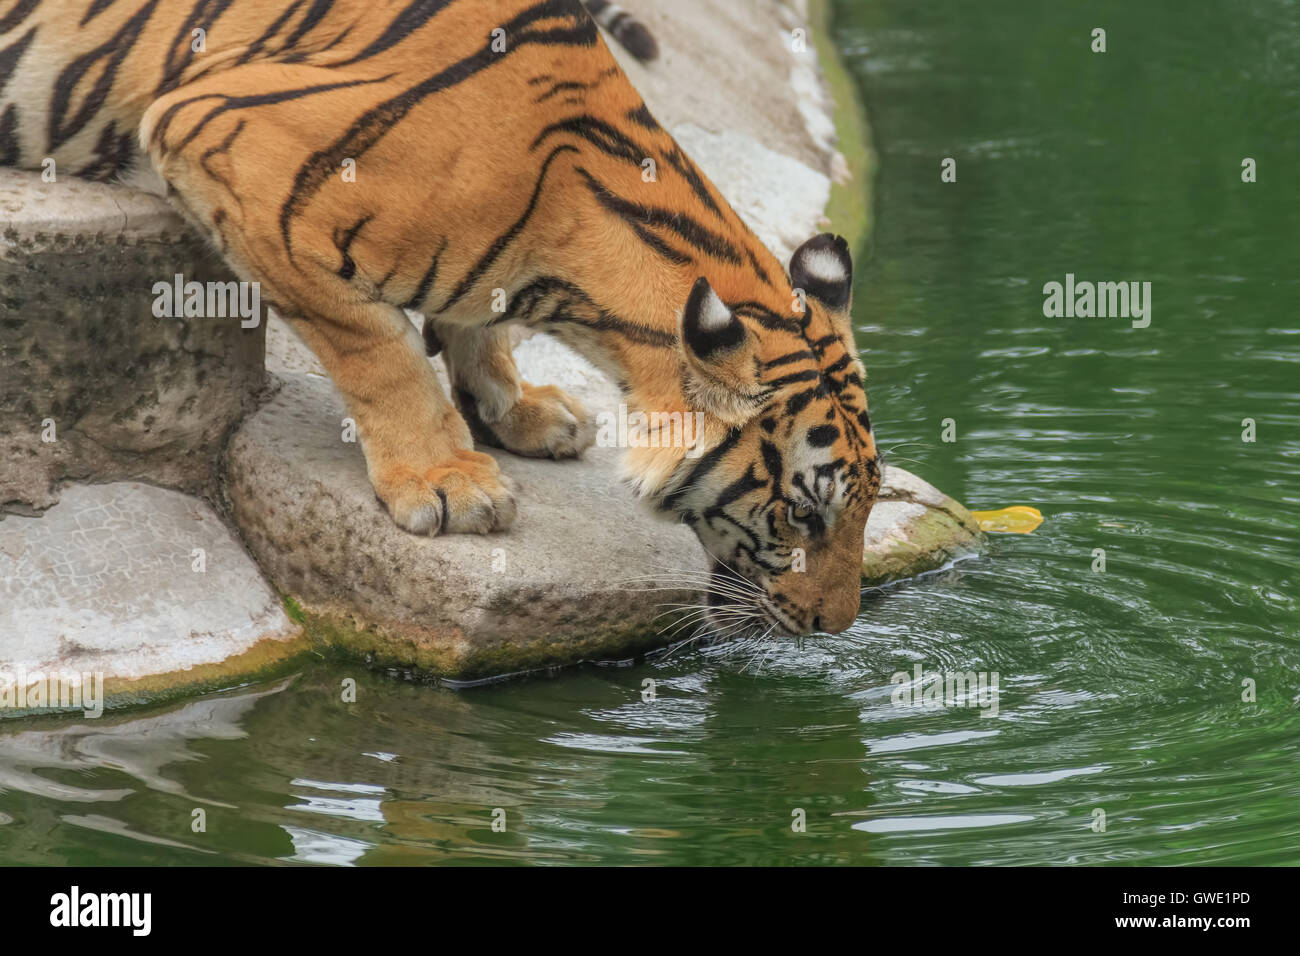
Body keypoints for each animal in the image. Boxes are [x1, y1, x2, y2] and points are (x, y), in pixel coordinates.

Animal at [0, 0, 881, 638]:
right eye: (804, 514)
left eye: (867, 507)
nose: (836, 626)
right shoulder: (230, 141)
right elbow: (379, 348)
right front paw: (448, 483)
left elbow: (476, 322)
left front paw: (520, 411)